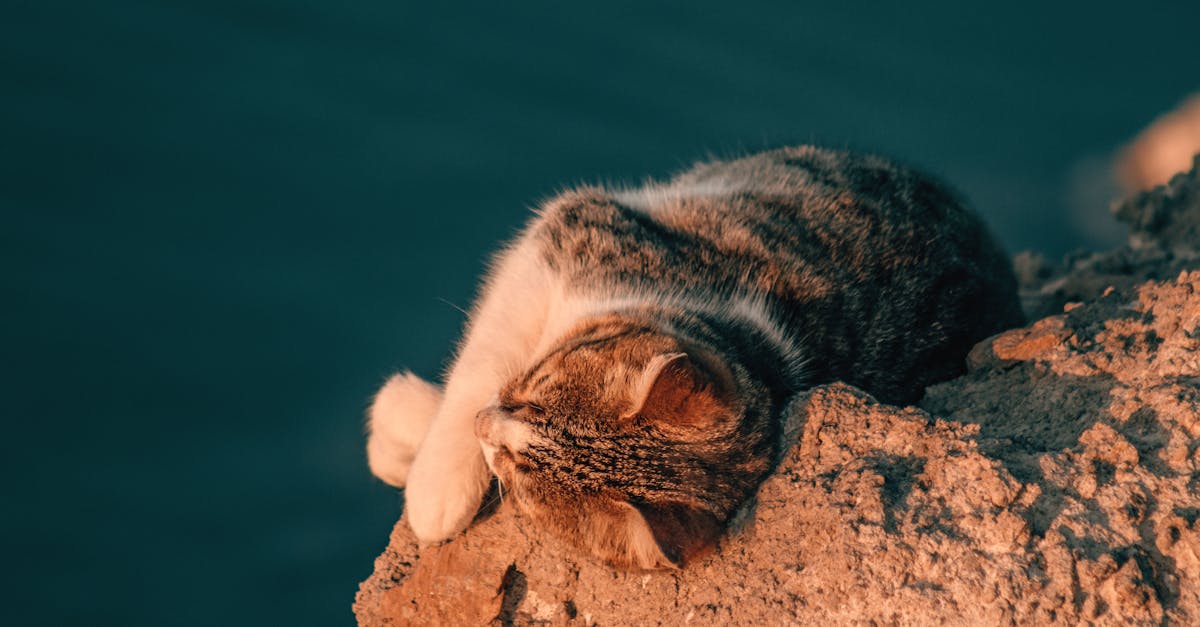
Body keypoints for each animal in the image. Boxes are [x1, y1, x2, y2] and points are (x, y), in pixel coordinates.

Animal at [362, 145, 1022, 566]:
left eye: (523, 476)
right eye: (538, 390)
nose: (486, 426)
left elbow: (483, 367)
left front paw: (429, 481)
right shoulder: (577, 231)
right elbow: (486, 354)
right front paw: (428, 449)